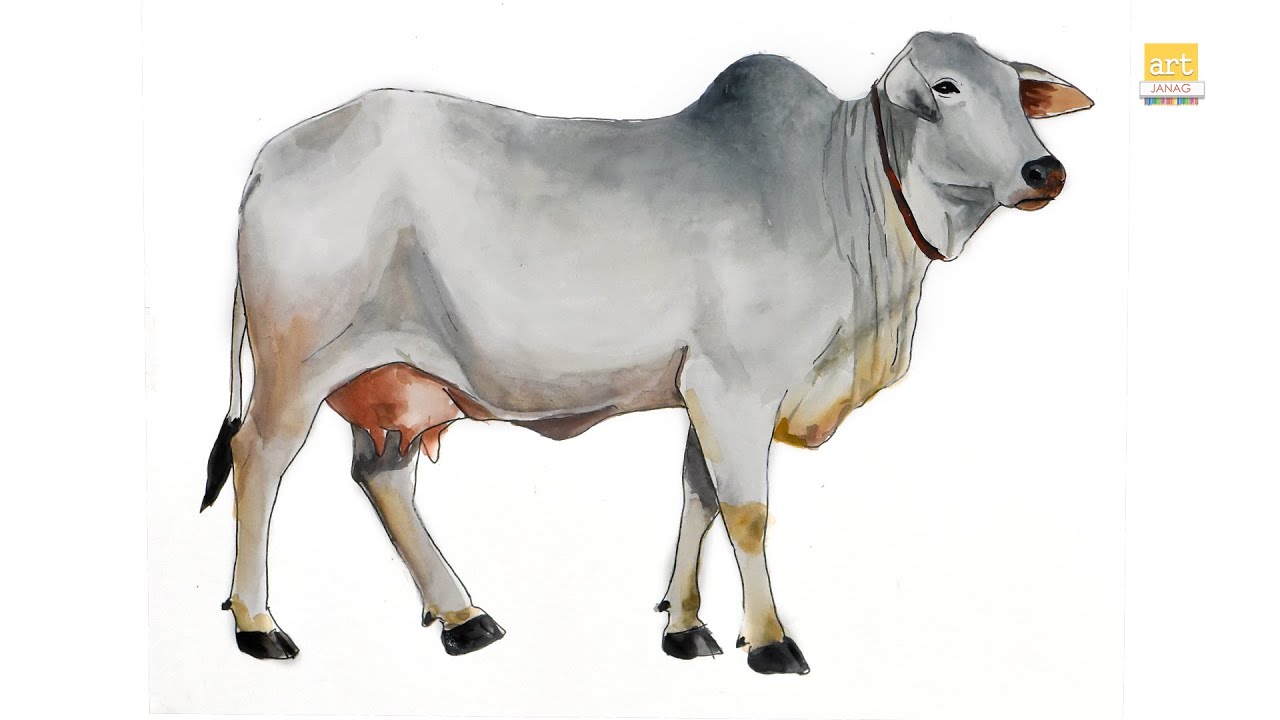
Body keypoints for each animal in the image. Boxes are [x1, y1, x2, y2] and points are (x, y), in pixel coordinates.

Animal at [202, 31, 1092, 674]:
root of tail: (269, 158)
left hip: (393, 379)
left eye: (1016, 89)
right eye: (945, 88)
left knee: (381, 477)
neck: (845, 194)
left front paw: (686, 627)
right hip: (296, 369)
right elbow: (747, 511)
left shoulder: (701, 389)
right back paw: (258, 625)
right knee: (257, 462)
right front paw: (770, 639)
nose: (1044, 169)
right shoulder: (737, 387)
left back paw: (462, 615)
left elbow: (698, 498)